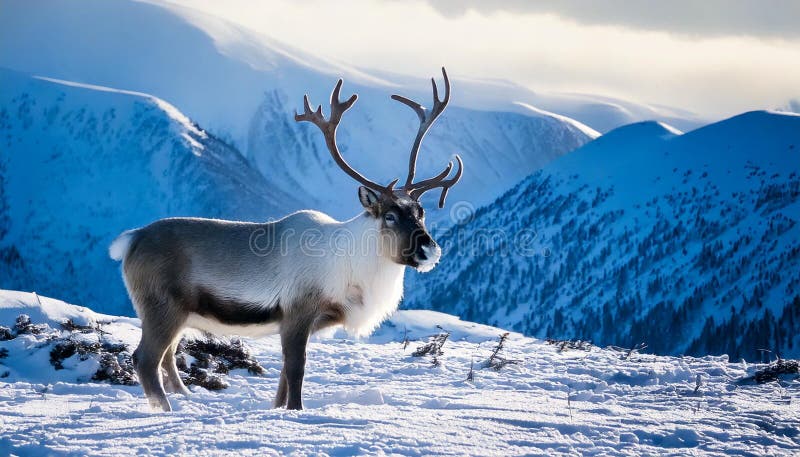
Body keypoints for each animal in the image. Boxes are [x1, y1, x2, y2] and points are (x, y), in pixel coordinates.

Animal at [109, 68, 462, 412]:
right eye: (389, 215)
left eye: (420, 211)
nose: (430, 249)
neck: (352, 267)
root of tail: (131, 239)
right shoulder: (298, 311)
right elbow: (295, 368)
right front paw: (296, 412)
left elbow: (282, 373)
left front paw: (278, 409)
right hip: (161, 307)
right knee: (145, 359)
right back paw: (167, 410)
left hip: (176, 314)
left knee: (167, 357)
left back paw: (185, 399)